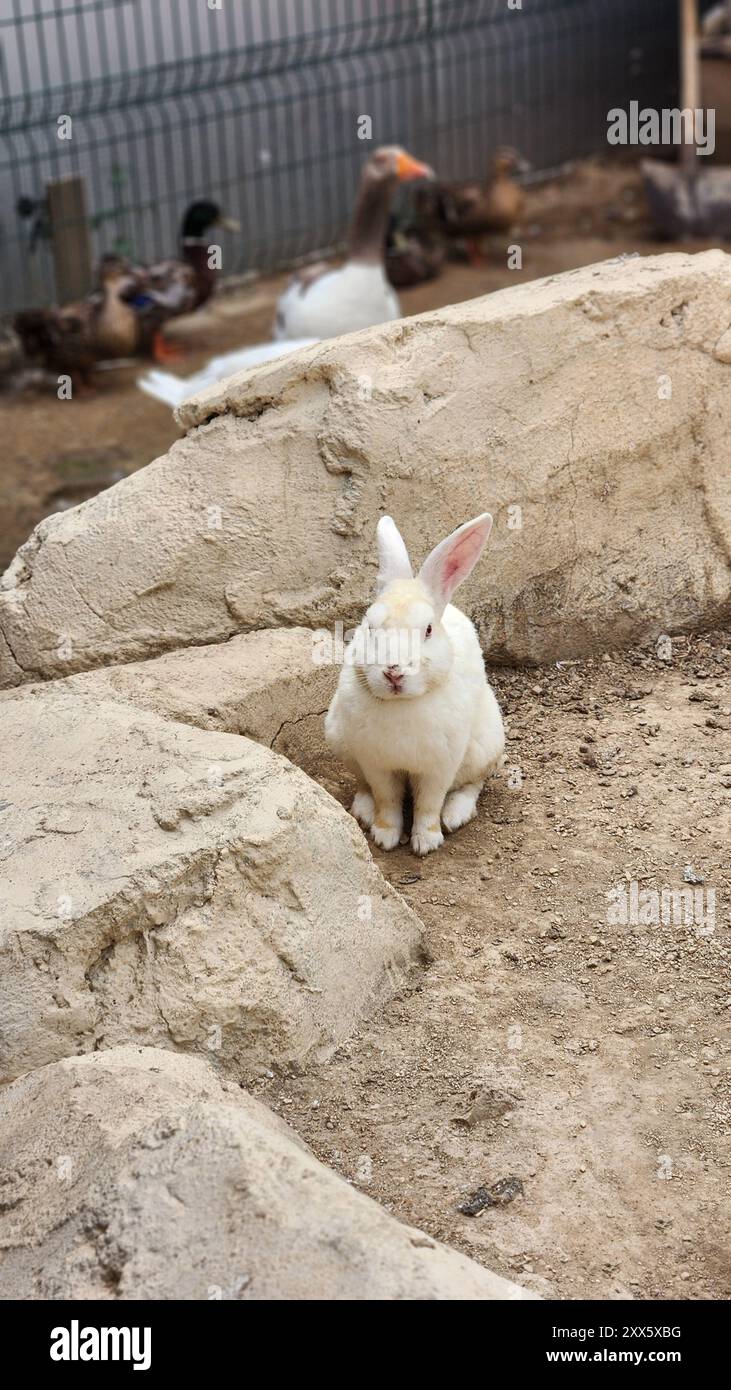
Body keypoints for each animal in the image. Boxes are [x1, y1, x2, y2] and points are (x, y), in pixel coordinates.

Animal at [325, 512, 505, 855]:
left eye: (429, 630)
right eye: (370, 627)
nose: (394, 672)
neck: (403, 704)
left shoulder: (439, 768)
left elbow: (428, 805)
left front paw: (426, 842)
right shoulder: (377, 765)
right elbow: (388, 800)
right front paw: (385, 836)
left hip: (484, 748)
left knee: (472, 785)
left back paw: (455, 814)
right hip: (341, 741)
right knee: (365, 788)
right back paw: (363, 810)